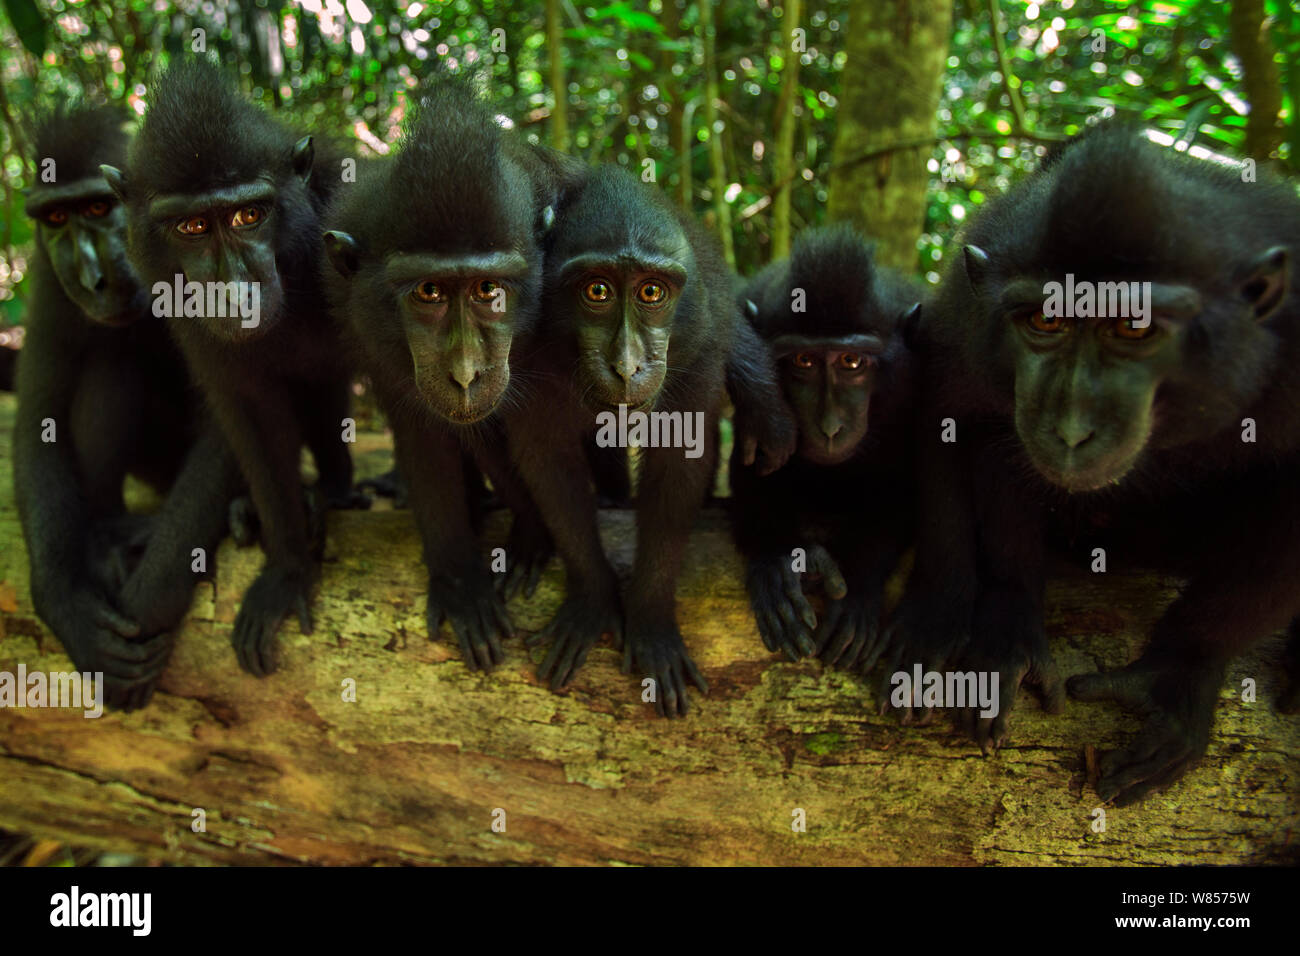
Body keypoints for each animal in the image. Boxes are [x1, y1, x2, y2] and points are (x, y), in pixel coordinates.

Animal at [13, 103, 243, 709]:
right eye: (55, 218)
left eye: (98, 207)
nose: (90, 275)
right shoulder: (49, 281)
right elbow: (37, 416)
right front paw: (69, 606)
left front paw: (149, 604)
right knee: (108, 359)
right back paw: (105, 533)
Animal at [876, 123, 1300, 804]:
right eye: (1045, 320)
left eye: (1135, 327)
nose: (1072, 428)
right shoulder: (969, 321)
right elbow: (952, 417)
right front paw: (962, 614)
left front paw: (1178, 672)